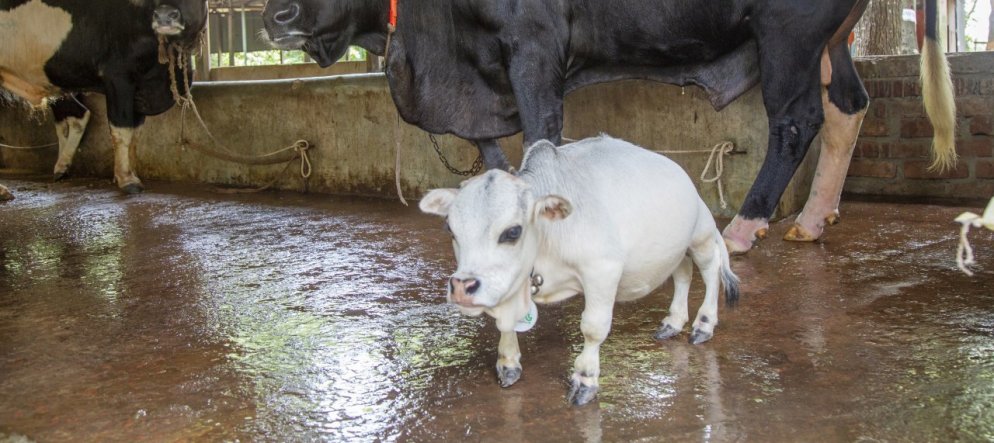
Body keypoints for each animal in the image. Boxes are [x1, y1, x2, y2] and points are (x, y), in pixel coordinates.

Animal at [0, 0, 208, 197]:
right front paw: (126, 180)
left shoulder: (138, 93)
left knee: (76, 115)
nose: (164, 15)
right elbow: (122, 129)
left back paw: (60, 168)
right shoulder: (118, 77)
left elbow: (135, 134)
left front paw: (131, 172)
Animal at [263, 0, 957, 255]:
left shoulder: (534, 46)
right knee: (848, 105)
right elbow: (492, 158)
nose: (276, 17)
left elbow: (541, 138)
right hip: (828, 41)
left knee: (795, 119)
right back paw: (813, 219)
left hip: (789, 30)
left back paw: (745, 225)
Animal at [419, 135, 741, 405]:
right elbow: (505, 324)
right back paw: (672, 322)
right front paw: (508, 363)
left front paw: (585, 379)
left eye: (512, 232)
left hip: (700, 238)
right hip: (673, 248)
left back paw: (703, 324)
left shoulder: (602, 269)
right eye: (450, 229)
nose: (462, 287)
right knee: (683, 273)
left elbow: (593, 327)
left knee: (710, 273)